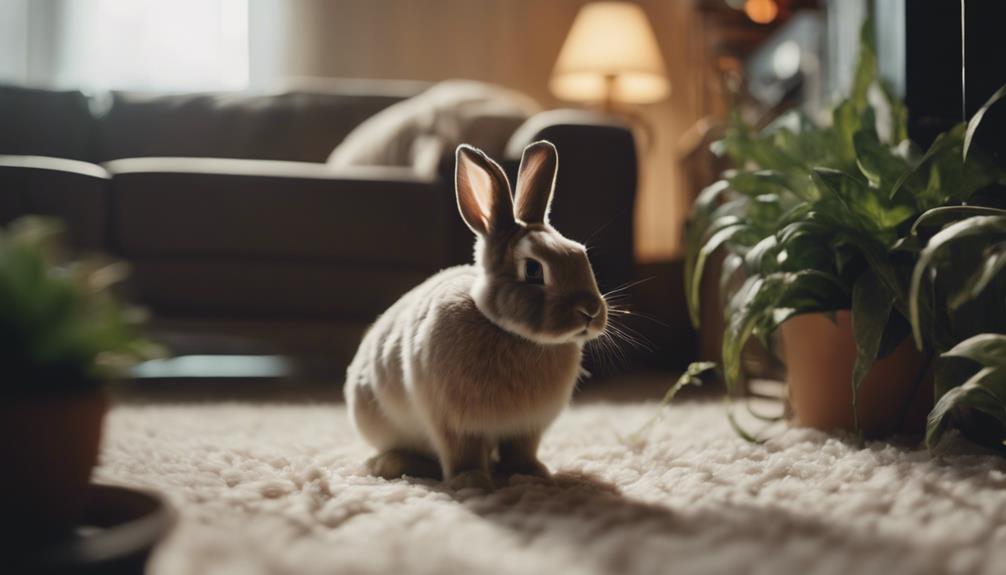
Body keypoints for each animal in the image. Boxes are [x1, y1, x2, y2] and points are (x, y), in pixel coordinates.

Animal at [345, 140, 607, 490]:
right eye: (533, 270)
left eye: (580, 254)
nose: (590, 312)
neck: (510, 332)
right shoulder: (454, 423)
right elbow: (461, 451)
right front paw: (472, 481)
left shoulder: (527, 427)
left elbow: (521, 451)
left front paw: (532, 473)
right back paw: (400, 465)